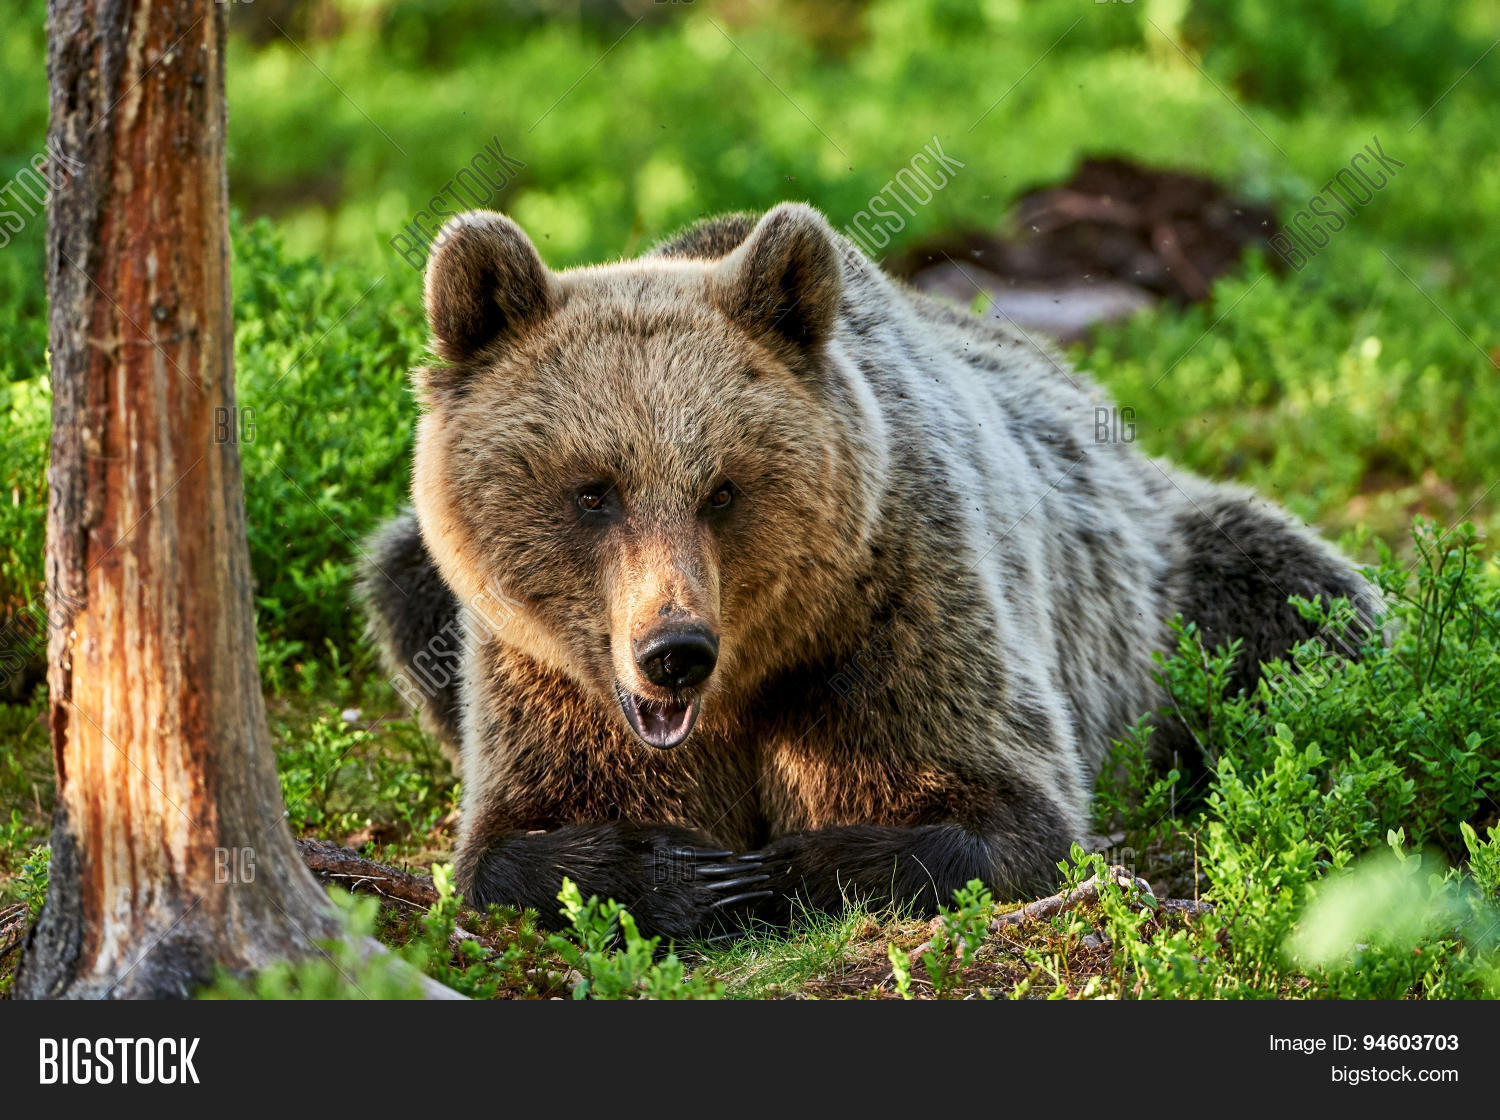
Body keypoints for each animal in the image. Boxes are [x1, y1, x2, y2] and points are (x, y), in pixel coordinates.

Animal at [360, 202, 1375, 939]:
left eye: (722, 489)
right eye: (592, 491)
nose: (673, 650)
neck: (748, 679)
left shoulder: (903, 609)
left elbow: (1012, 819)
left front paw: (777, 869)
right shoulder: (544, 675)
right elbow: (505, 845)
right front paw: (677, 871)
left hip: (1171, 577)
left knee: (1306, 615)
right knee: (398, 578)